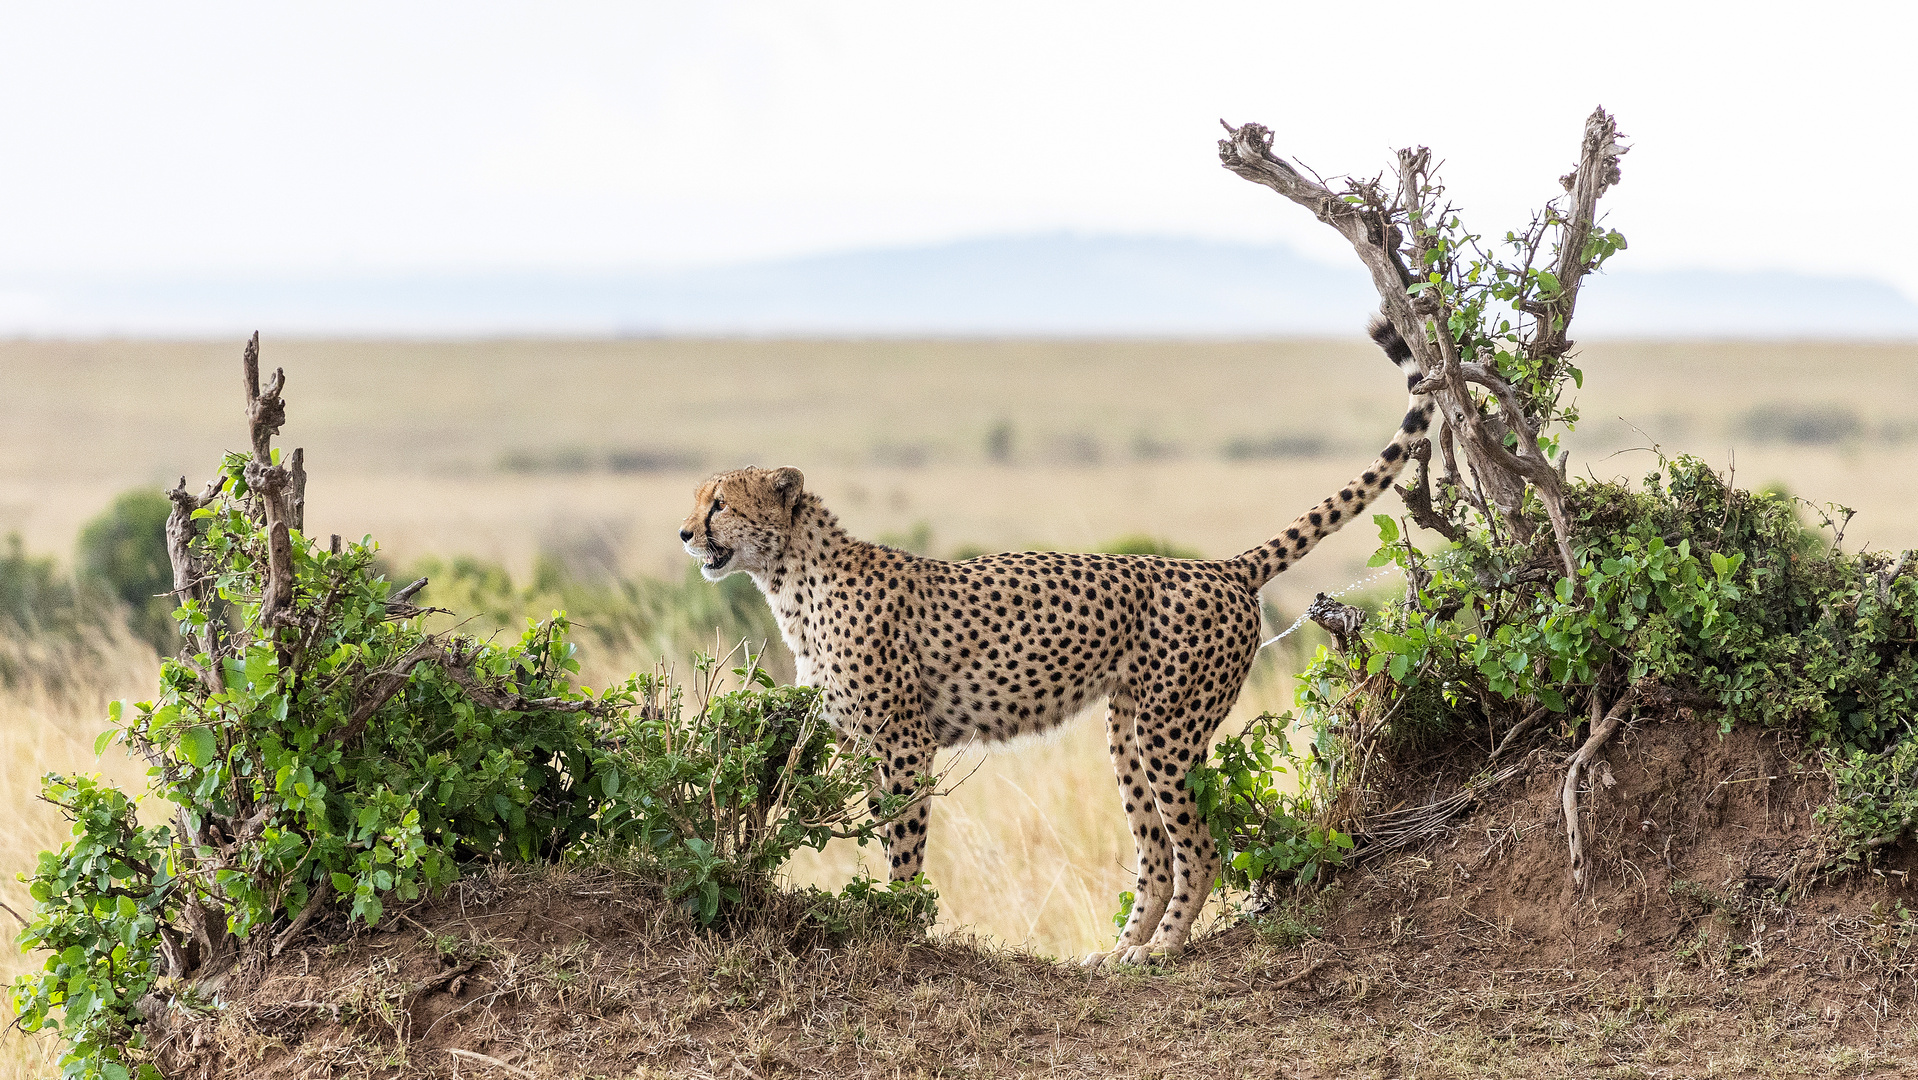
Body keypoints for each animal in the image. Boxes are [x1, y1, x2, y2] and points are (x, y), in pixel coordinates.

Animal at [682, 318, 1434, 962]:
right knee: (1155, 851)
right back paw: (1119, 949)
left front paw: (896, 921)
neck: (791, 580)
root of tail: (1220, 566)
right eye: (697, 500)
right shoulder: (860, 739)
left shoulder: (905, 740)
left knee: (1199, 846)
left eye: (719, 502)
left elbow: (904, 842)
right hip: (1127, 730)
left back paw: (1162, 950)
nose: (685, 534)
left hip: (1170, 729)